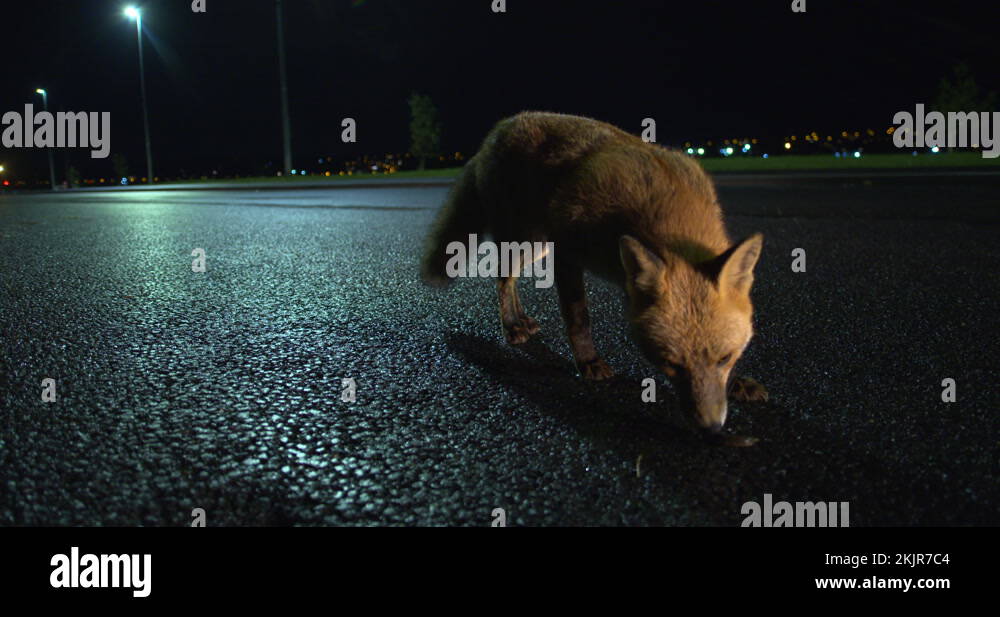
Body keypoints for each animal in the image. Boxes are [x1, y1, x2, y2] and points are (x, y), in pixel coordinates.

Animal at [421, 112, 768, 434]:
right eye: (670, 364)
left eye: (724, 358)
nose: (711, 428)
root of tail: (502, 125)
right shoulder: (567, 251)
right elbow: (578, 318)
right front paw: (588, 361)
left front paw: (737, 384)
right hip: (524, 239)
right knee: (503, 277)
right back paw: (511, 325)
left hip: (536, 246)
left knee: (511, 277)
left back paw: (521, 319)